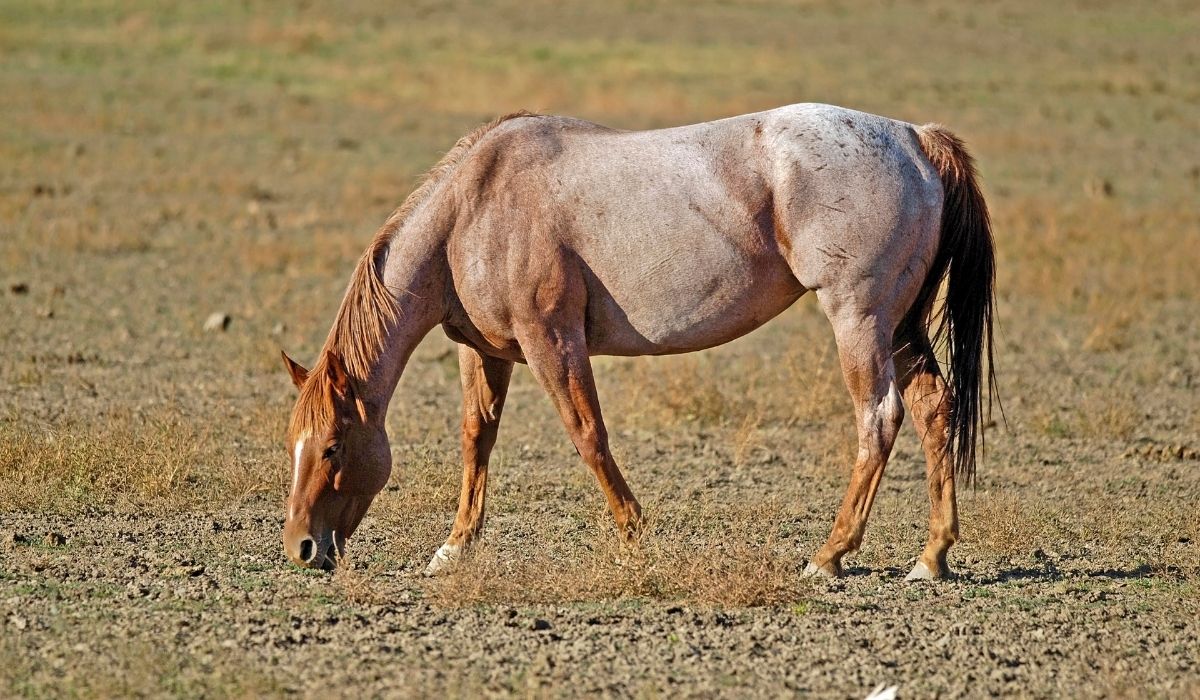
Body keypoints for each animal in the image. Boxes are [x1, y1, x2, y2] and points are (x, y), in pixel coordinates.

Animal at [278, 103, 993, 583]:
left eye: (333, 446)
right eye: (295, 446)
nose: (301, 549)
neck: (472, 208)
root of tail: (914, 140)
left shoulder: (551, 341)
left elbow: (588, 434)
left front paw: (634, 535)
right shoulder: (485, 352)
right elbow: (476, 440)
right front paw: (455, 547)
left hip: (859, 320)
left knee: (879, 418)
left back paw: (830, 555)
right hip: (900, 328)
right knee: (933, 409)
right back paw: (931, 558)